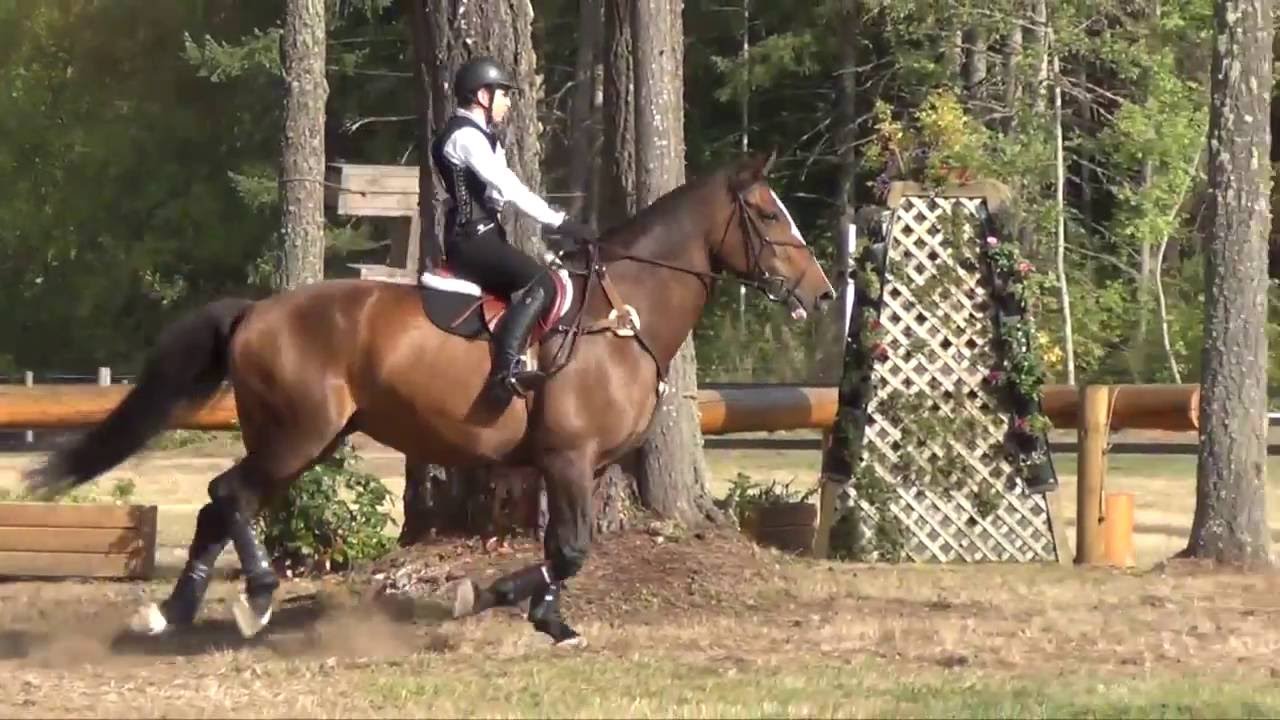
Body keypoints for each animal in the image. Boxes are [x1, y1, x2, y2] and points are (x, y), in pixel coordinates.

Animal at [23, 151, 835, 647]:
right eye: (769, 216)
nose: (824, 295)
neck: (622, 314)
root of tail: (256, 311)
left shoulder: (585, 468)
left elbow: (567, 551)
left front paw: (545, 616)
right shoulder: (569, 461)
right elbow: (569, 549)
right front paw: (496, 597)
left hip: (302, 440)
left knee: (221, 504)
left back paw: (176, 612)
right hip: (297, 436)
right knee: (229, 493)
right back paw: (253, 595)